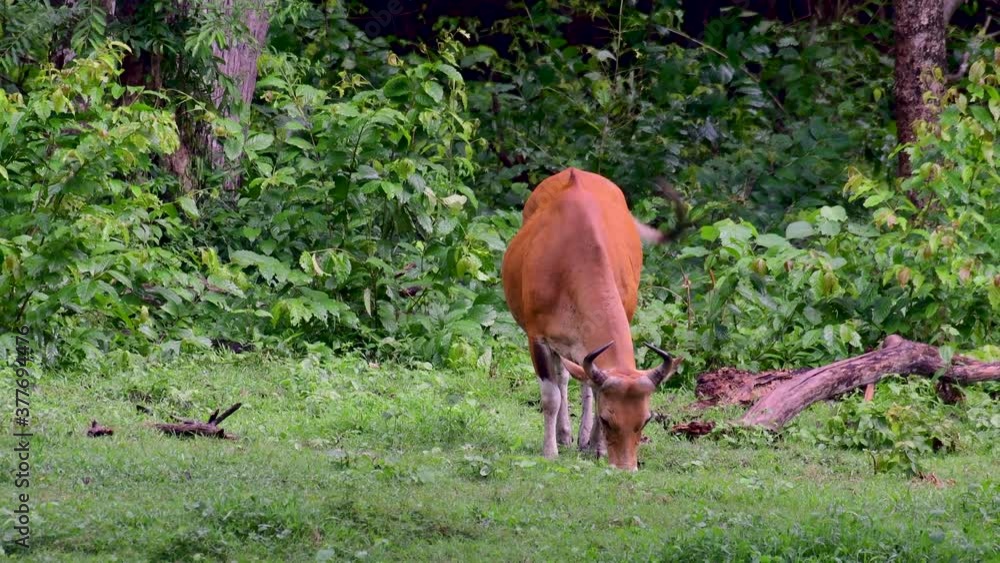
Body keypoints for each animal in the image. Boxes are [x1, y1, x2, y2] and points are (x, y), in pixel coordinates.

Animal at [501, 168, 685, 471]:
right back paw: (564, 434)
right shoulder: (536, 337)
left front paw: (597, 448)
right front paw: (550, 451)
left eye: (645, 420)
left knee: (583, 380)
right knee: (563, 379)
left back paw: (582, 437)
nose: (626, 468)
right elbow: (550, 396)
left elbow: (594, 387)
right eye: (607, 419)